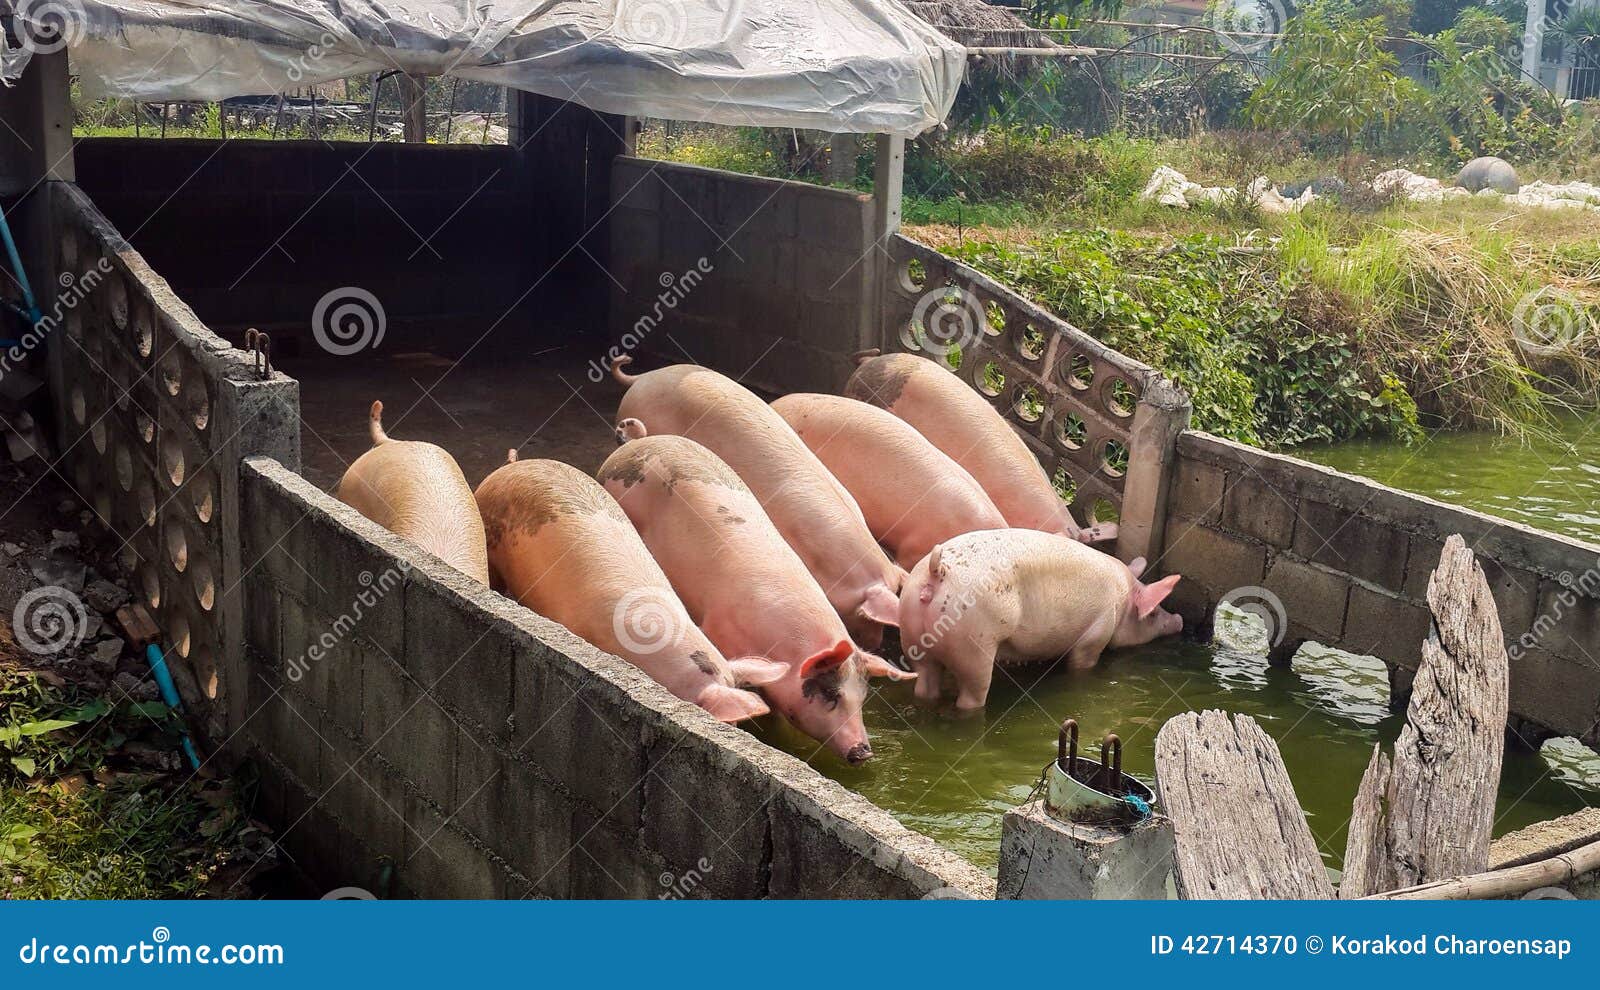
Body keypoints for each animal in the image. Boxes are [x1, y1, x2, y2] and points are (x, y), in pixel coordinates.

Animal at [597, 434, 914, 764]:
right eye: (831, 694)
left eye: (861, 697)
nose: (863, 751)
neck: (785, 646)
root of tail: (636, 446)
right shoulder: (720, 630)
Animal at [897, 529, 1181, 711]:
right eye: (1153, 613)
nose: (1179, 620)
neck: (1121, 601)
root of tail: (937, 571)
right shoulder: (1096, 632)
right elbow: (1082, 662)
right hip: (973, 644)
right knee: (971, 695)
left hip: (912, 637)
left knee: (925, 684)